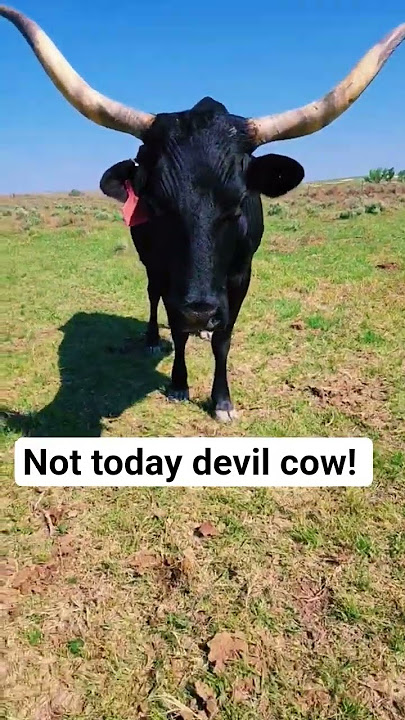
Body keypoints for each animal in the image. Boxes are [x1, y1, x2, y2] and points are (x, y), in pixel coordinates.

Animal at [1, 6, 404, 420]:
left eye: (238, 202)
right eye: (157, 204)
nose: (199, 312)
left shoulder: (241, 275)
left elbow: (224, 338)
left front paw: (221, 399)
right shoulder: (168, 274)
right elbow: (175, 326)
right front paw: (179, 383)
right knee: (152, 295)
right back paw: (154, 337)